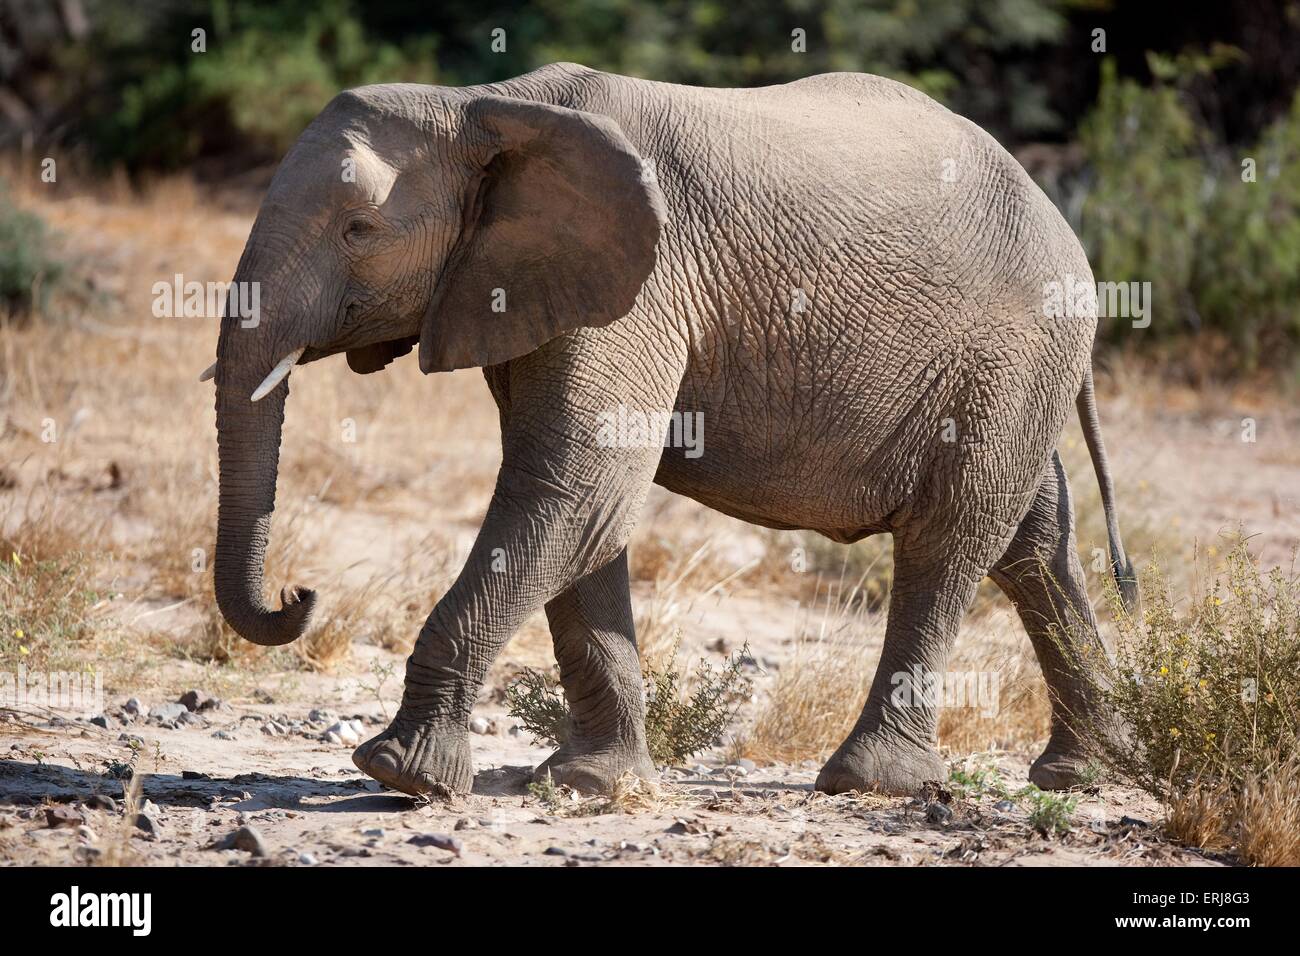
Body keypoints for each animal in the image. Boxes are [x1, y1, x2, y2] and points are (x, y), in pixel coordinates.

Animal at [205, 62, 1136, 798]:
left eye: (360, 230)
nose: (299, 593)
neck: (484, 104)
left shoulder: (646, 286)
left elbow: (576, 486)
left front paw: (403, 775)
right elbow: (582, 506)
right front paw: (587, 783)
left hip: (1013, 352)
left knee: (951, 536)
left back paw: (870, 783)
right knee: (1029, 539)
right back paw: (1082, 772)